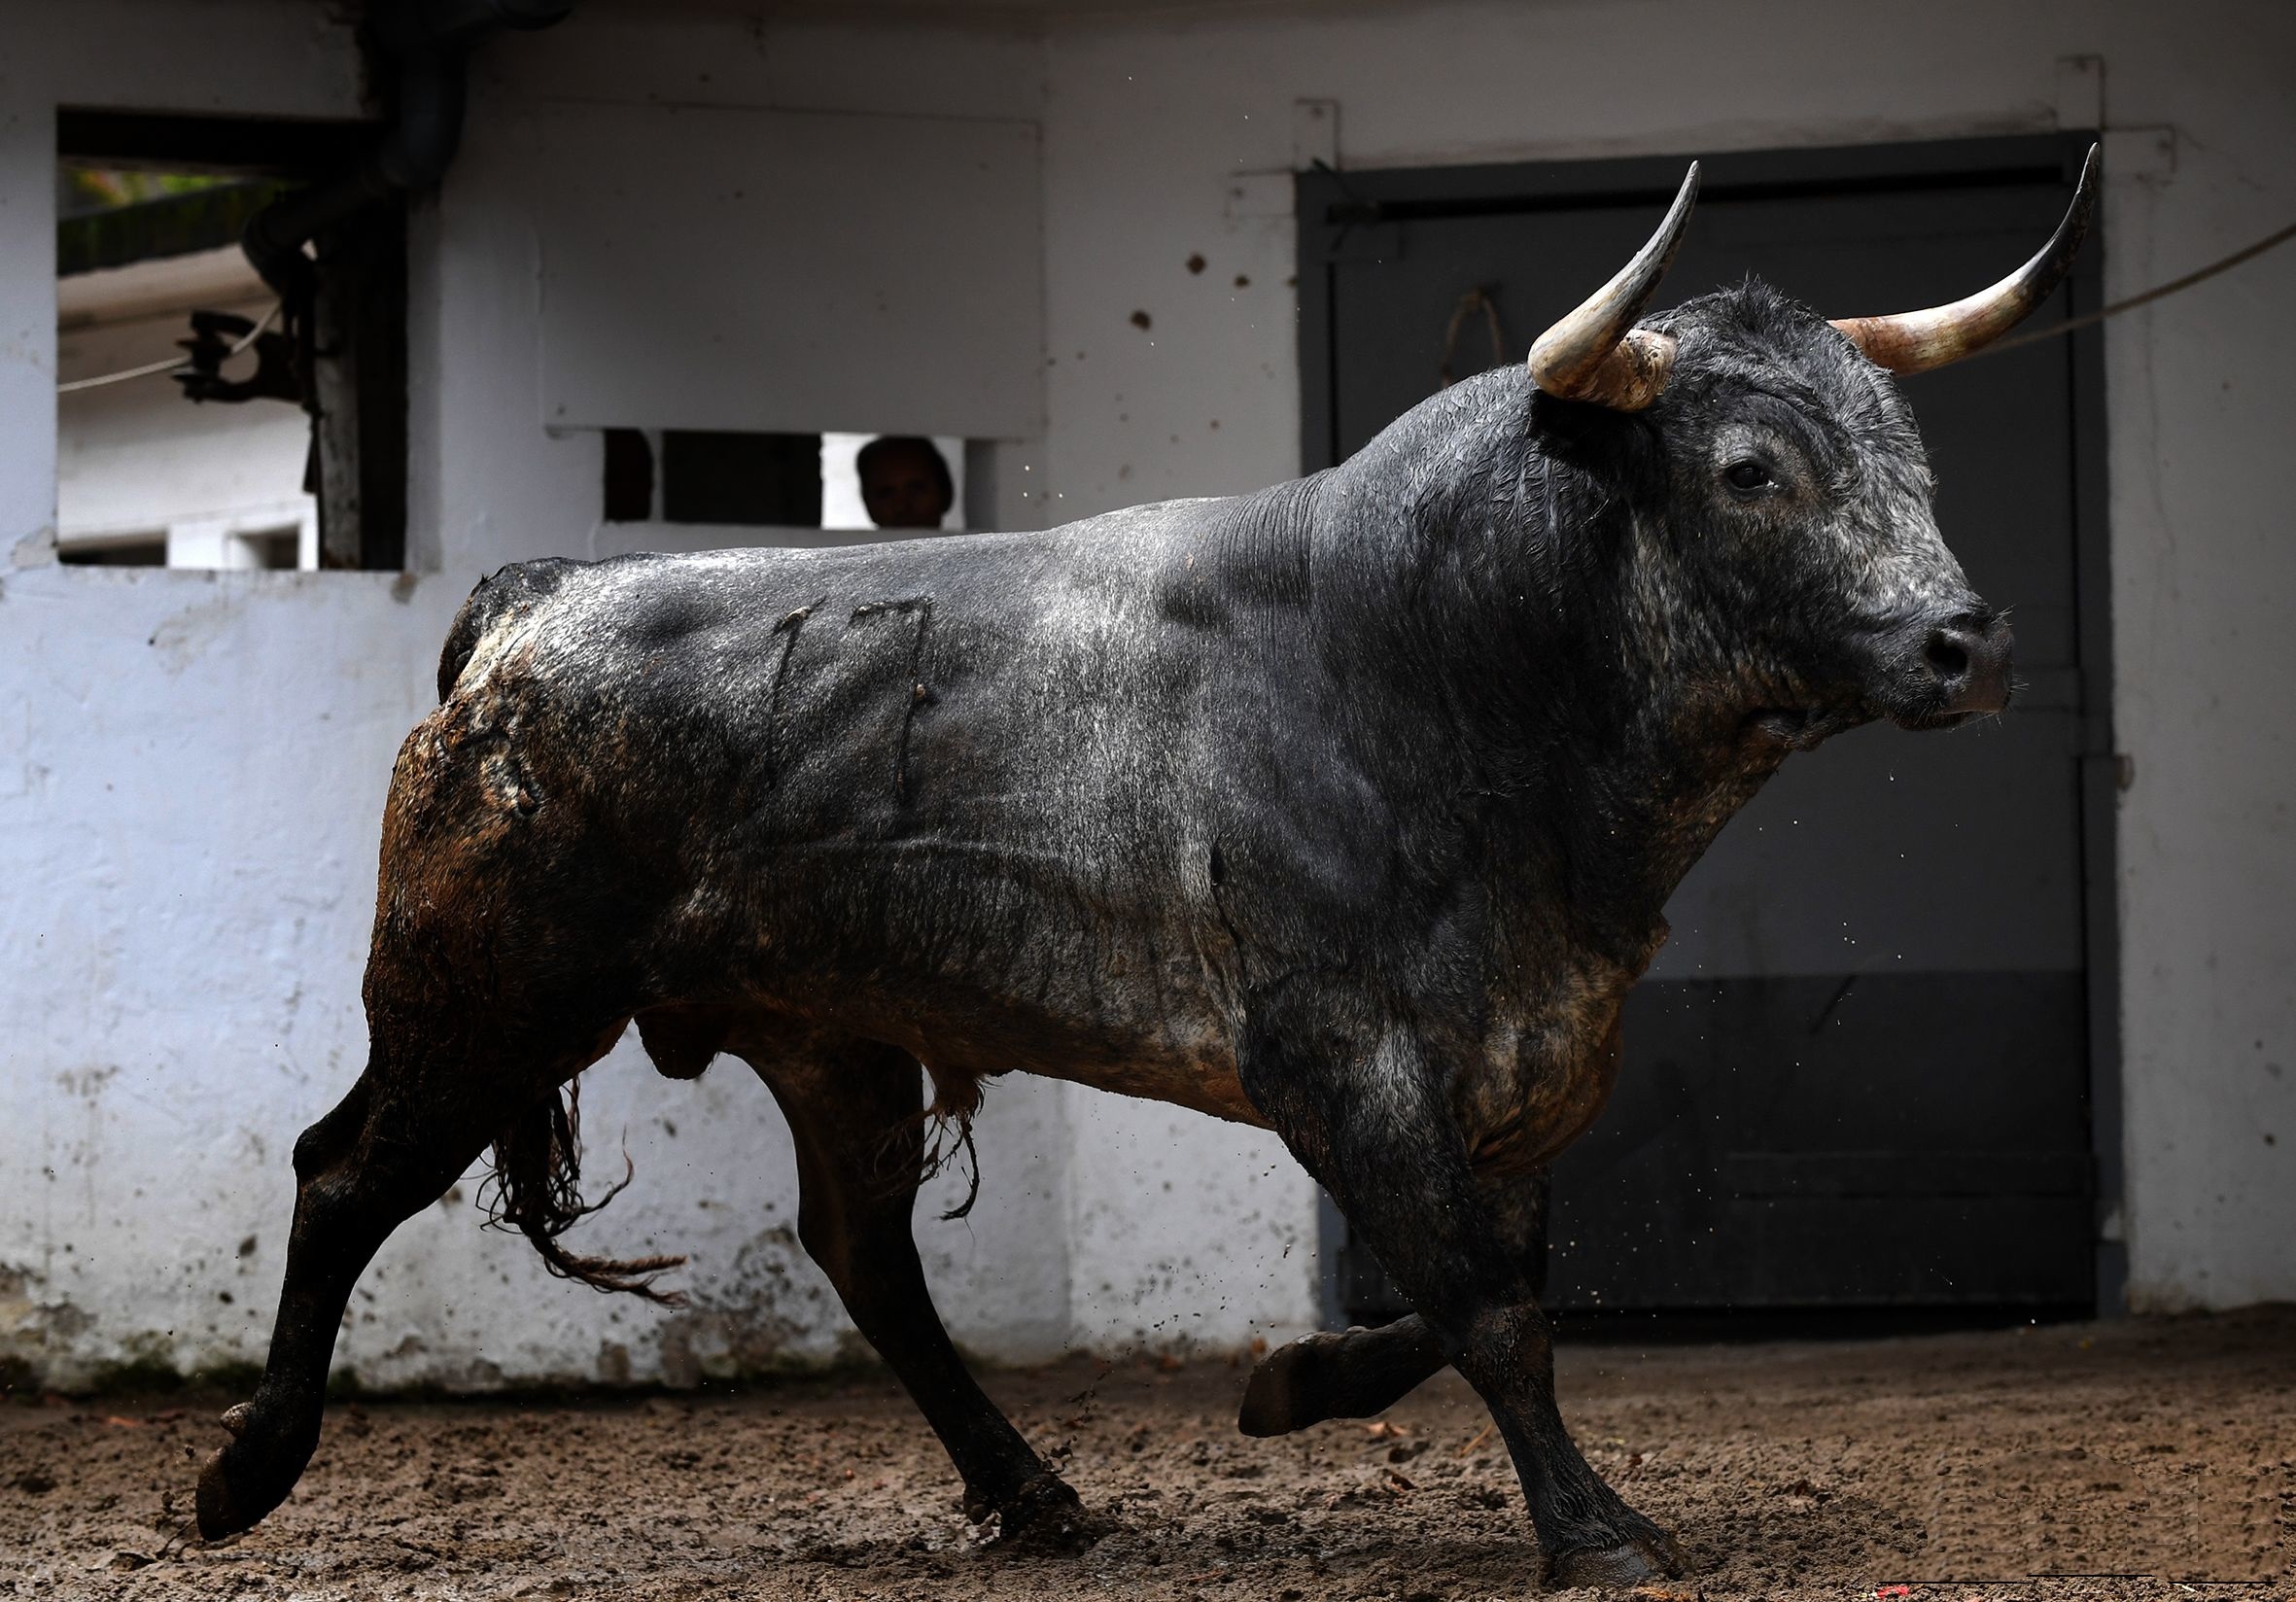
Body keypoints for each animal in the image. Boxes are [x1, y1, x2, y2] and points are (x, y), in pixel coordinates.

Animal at [195, 148, 2096, 1586]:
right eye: (1748, 468)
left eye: (1909, 459)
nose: (1962, 643)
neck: (1443, 667)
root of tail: (537, 605)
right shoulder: (1341, 1060)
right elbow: (1489, 1304)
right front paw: (1598, 1532)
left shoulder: (1521, 1059)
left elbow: (1485, 1287)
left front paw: (1294, 1385)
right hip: (483, 993)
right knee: (344, 1170)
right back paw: (244, 1471)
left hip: (824, 1030)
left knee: (862, 1249)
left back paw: (1031, 1494)